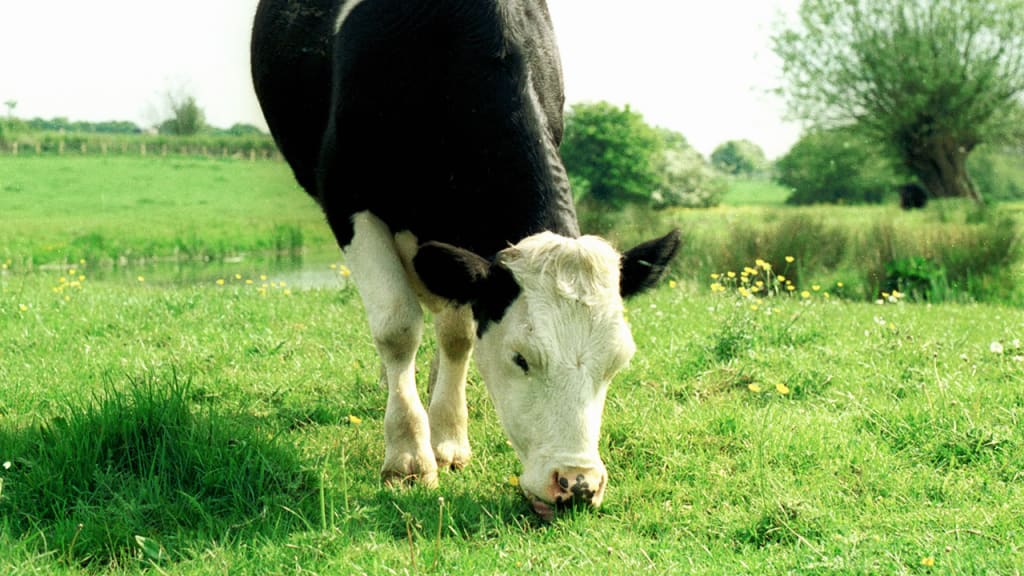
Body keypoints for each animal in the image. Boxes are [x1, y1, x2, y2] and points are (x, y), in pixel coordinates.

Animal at [251, 0, 680, 520]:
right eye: (520, 358)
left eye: (618, 362)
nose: (577, 485)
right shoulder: (347, 197)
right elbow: (397, 328)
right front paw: (408, 457)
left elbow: (459, 336)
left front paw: (449, 439)